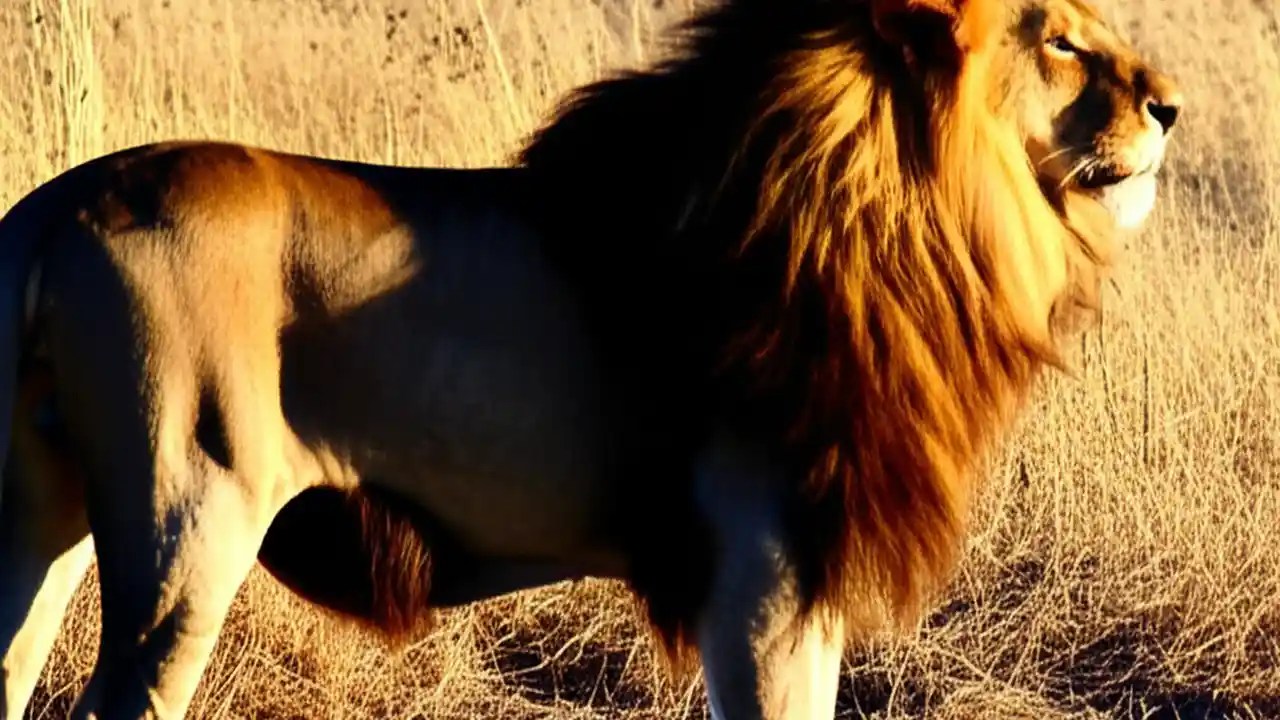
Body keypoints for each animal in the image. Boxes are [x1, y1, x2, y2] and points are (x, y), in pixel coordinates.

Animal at [0, 0, 1181, 718]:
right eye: (1063, 42)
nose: (1169, 108)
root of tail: (52, 212)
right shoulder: (760, 569)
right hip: (187, 528)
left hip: (45, 522)